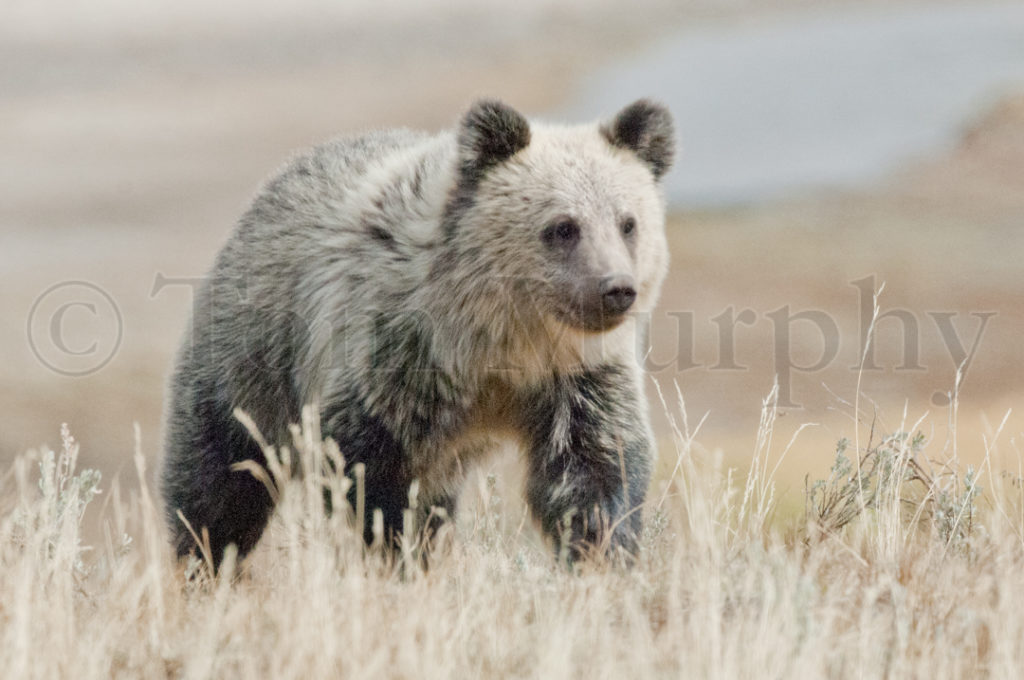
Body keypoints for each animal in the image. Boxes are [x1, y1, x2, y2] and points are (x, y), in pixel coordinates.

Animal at [161, 98, 675, 570]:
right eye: (563, 227)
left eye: (628, 223)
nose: (616, 288)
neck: (498, 346)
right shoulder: (391, 359)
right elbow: (370, 475)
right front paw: (395, 554)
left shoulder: (577, 379)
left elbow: (595, 467)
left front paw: (601, 553)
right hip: (251, 359)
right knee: (220, 478)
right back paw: (205, 563)